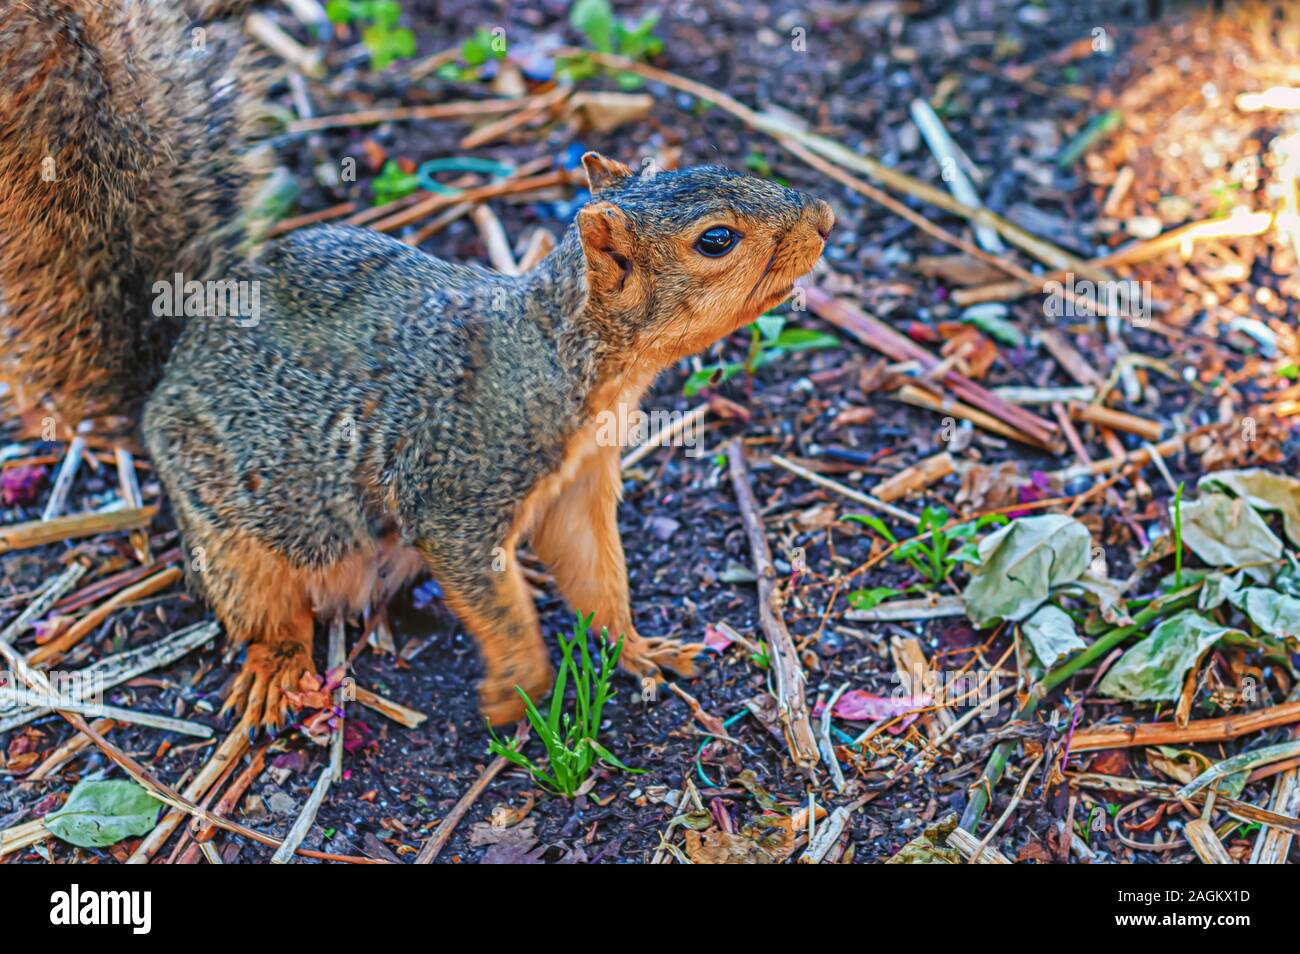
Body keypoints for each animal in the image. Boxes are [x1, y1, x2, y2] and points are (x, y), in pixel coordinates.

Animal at [0, 0, 833, 730]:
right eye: (717, 240)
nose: (824, 216)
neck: (562, 358)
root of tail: (168, 374)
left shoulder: (575, 489)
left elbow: (596, 575)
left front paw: (634, 647)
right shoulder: (459, 492)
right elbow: (492, 598)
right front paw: (518, 690)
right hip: (232, 536)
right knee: (260, 611)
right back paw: (276, 666)